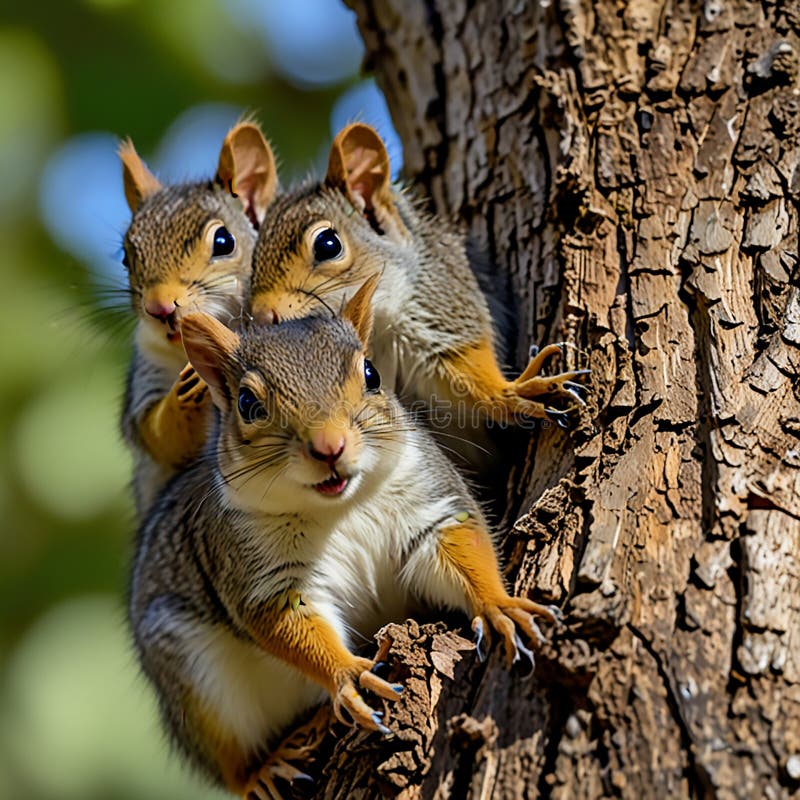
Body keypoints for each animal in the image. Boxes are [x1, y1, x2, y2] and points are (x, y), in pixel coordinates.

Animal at [118, 121, 277, 514]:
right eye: (125, 258)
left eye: (224, 242)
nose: (160, 309)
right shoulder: (147, 371)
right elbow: (157, 435)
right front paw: (187, 392)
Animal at [128, 277, 560, 799]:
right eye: (248, 405)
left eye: (372, 374)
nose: (329, 447)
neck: (341, 508)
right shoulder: (260, 574)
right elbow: (292, 627)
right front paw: (349, 673)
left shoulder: (430, 507)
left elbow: (461, 553)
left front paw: (500, 606)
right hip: (192, 677)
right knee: (229, 762)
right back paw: (264, 770)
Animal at [247, 123, 589, 471]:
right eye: (253, 261)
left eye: (328, 244)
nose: (259, 315)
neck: (378, 331)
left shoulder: (443, 304)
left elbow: (469, 371)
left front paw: (514, 392)